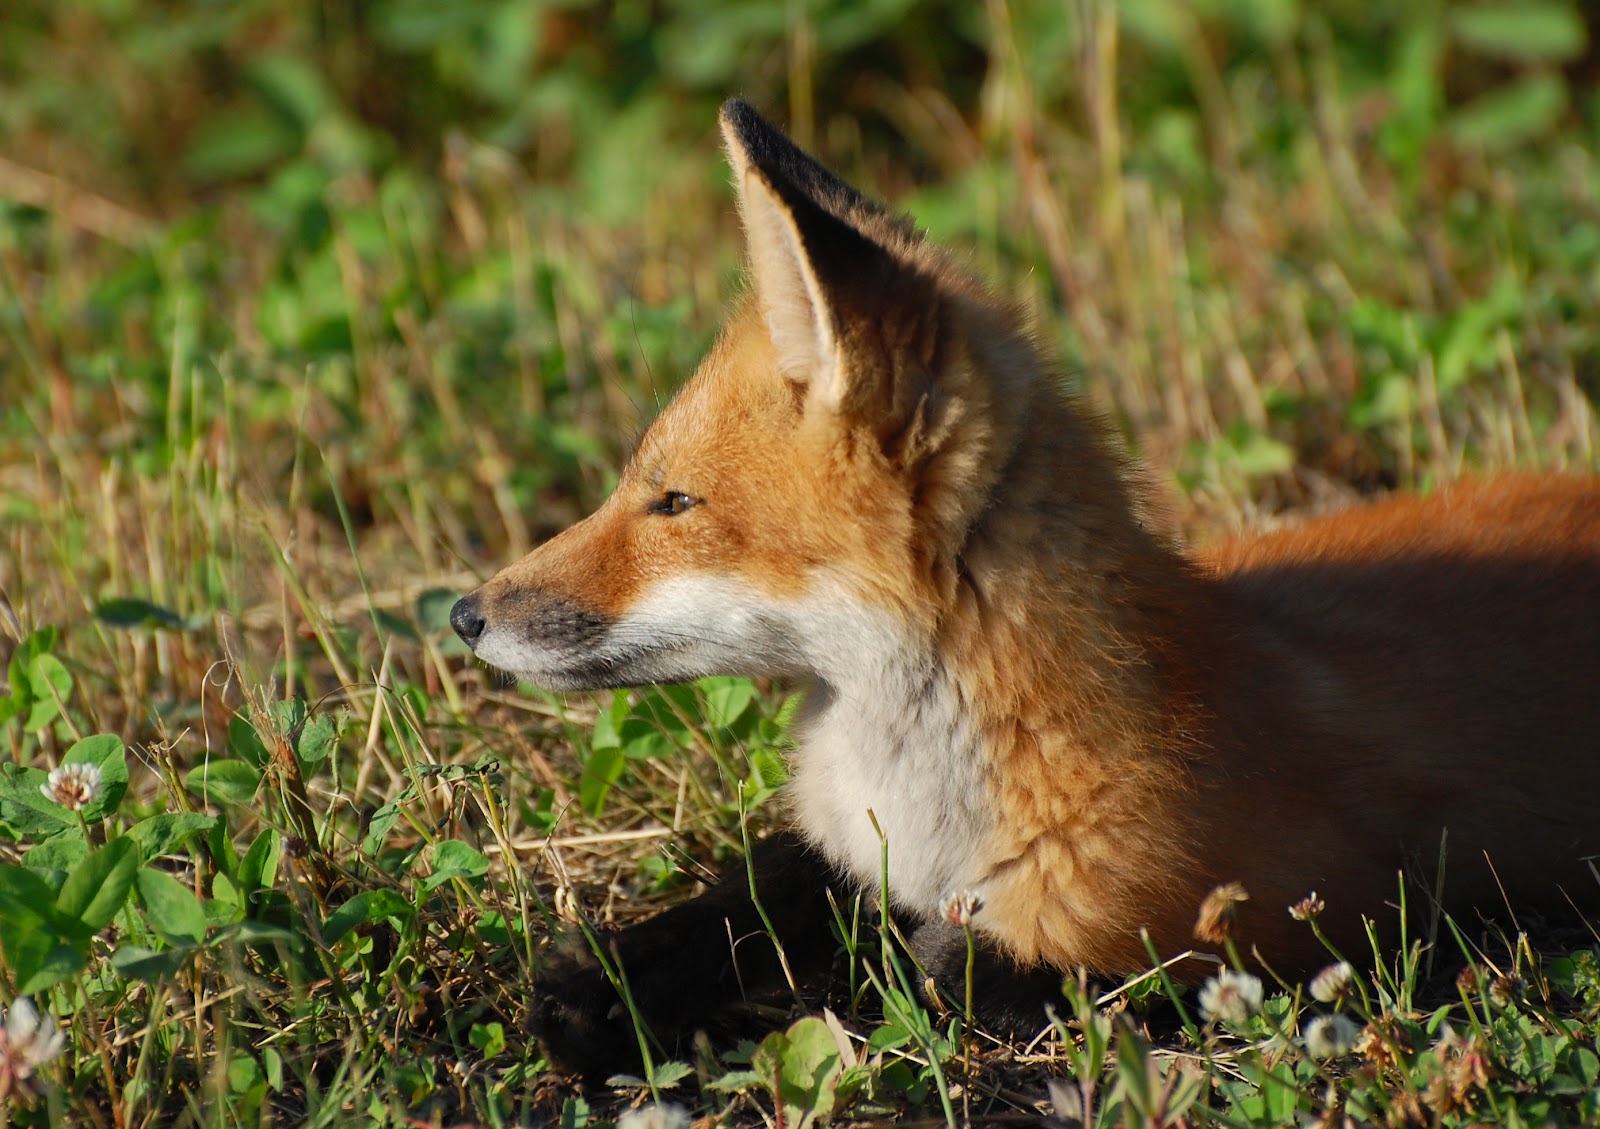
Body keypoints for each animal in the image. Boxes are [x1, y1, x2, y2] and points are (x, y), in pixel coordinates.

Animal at [450, 99, 1600, 1076]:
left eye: (675, 502)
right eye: (643, 486)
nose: (465, 614)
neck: (938, 793)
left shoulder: (1291, 912)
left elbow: (937, 966)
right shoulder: (852, 847)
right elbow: (750, 895)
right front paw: (607, 985)